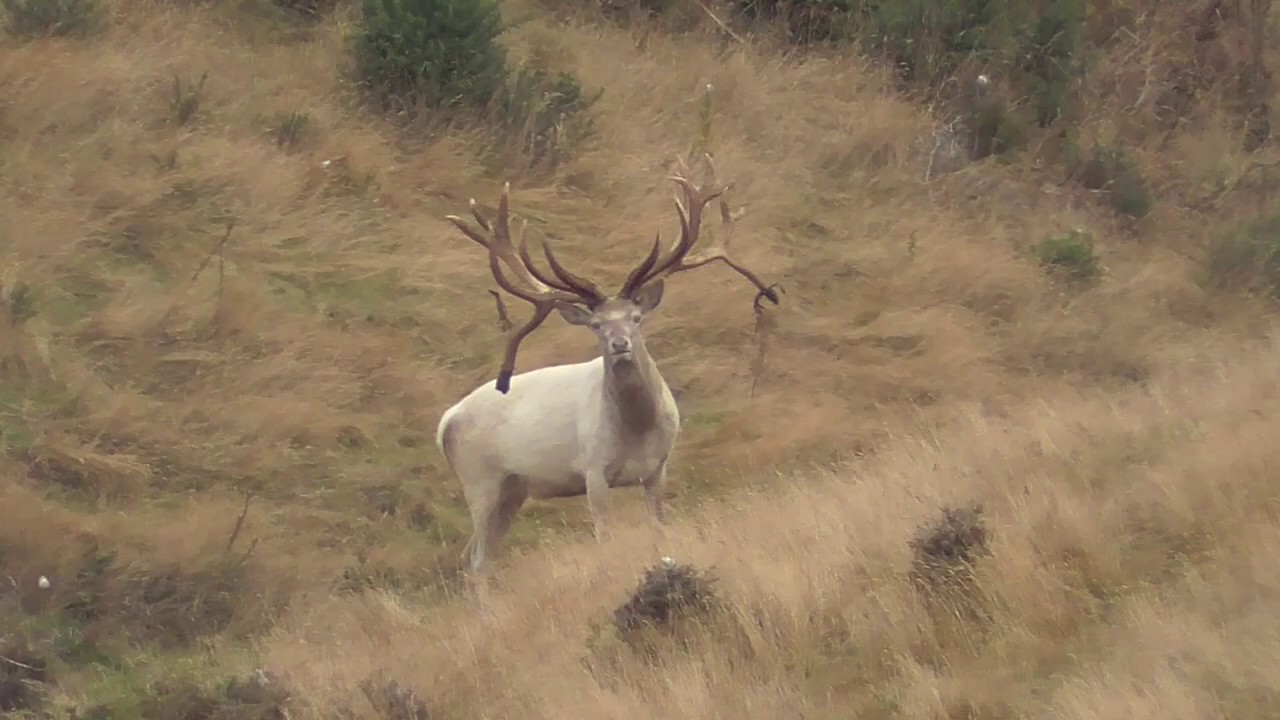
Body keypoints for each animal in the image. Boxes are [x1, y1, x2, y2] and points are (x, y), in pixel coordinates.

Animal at [436, 155, 779, 580]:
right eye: (597, 325)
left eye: (636, 317)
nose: (619, 345)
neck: (637, 431)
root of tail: (445, 423)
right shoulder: (593, 470)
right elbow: (605, 539)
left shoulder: (659, 467)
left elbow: (659, 531)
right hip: (479, 480)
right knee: (476, 560)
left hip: (512, 489)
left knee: (477, 555)